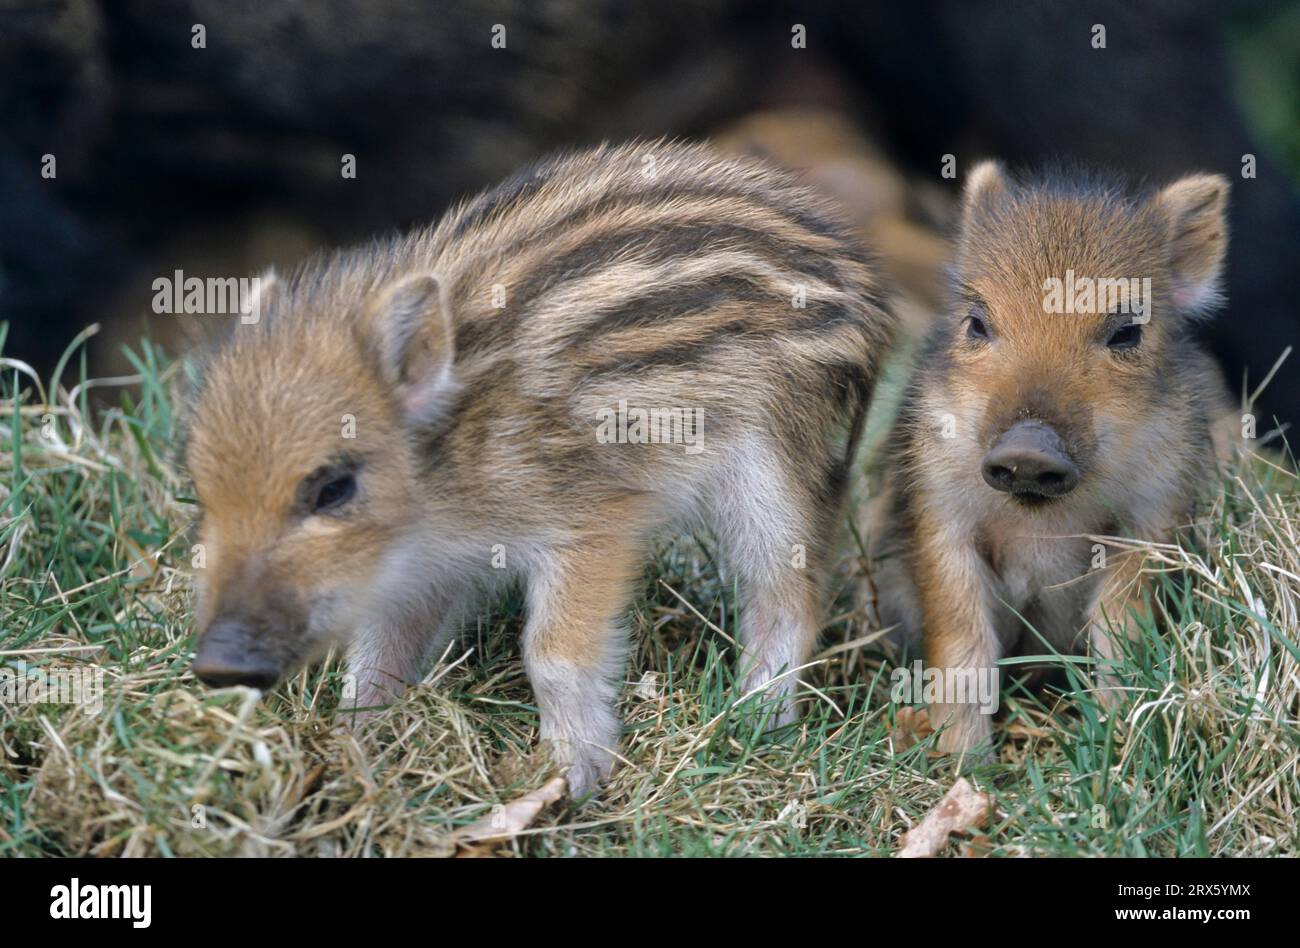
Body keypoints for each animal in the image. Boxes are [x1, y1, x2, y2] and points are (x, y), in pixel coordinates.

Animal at [182, 140, 896, 795]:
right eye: (205, 496)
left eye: (333, 488)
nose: (216, 667)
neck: (449, 463)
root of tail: (863, 283)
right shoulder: (427, 566)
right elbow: (378, 652)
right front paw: (358, 751)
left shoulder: (595, 520)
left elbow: (551, 653)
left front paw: (574, 779)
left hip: (777, 466)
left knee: (789, 593)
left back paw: (755, 722)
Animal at [856, 161, 1231, 756]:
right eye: (976, 323)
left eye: (1127, 332)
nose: (1028, 447)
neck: (1040, 523)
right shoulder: (939, 512)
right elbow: (960, 631)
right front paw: (963, 760)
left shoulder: (1152, 517)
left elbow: (1121, 628)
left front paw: (1116, 739)